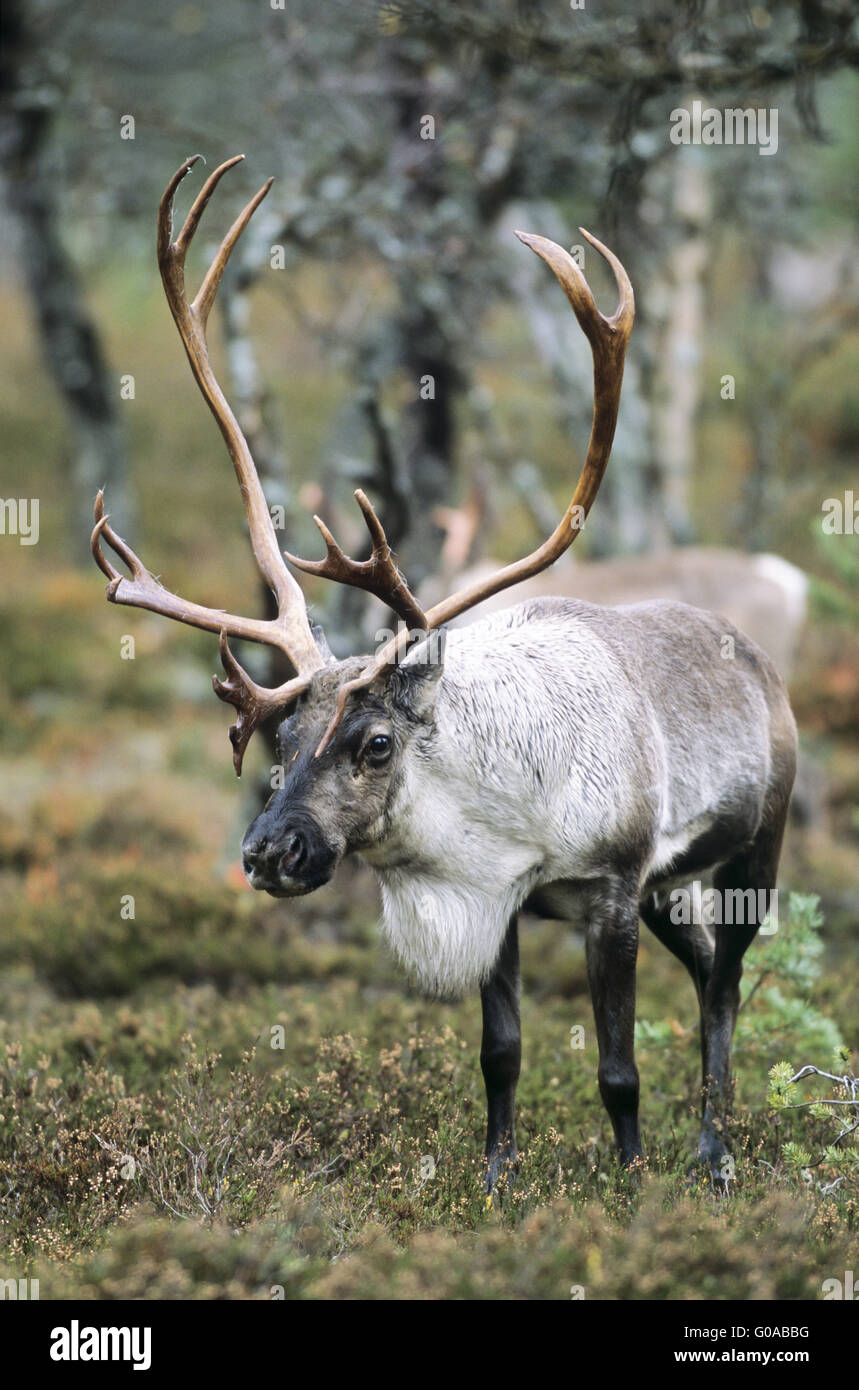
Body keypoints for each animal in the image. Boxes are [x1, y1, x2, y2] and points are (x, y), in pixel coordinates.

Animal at [92, 156, 797, 1193]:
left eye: (376, 740)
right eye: (280, 735)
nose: (268, 853)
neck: (486, 817)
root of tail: (756, 656)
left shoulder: (611, 893)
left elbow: (617, 1069)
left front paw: (632, 1182)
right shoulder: (500, 906)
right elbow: (499, 1055)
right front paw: (495, 1182)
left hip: (750, 851)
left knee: (728, 980)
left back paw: (715, 1152)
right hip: (673, 889)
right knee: (708, 964)